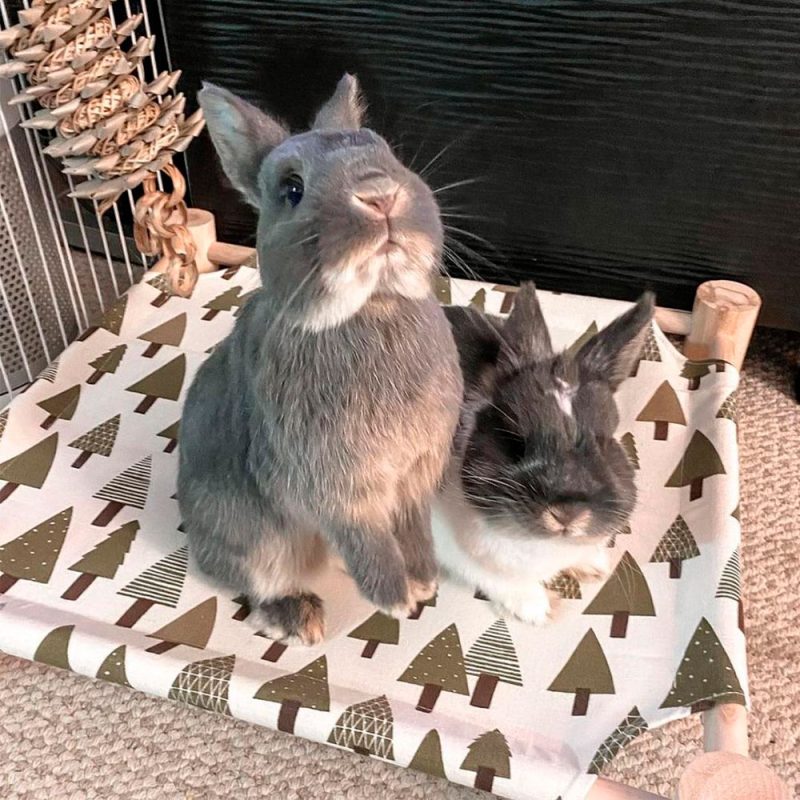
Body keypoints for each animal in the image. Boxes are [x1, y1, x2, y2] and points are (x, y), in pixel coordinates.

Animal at [178, 74, 463, 645]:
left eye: (387, 153)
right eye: (292, 189)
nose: (380, 195)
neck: (371, 307)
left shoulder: (416, 476)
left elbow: (414, 527)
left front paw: (424, 580)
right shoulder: (333, 487)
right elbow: (364, 537)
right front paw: (394, 596)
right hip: (252, 539)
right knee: (253, 580)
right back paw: (299, 619)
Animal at [432, 283, 654, 625]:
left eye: (606, 441)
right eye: (513, 441)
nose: (567, 512)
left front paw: (594, 567)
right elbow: (491, 577)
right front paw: (539, 609)